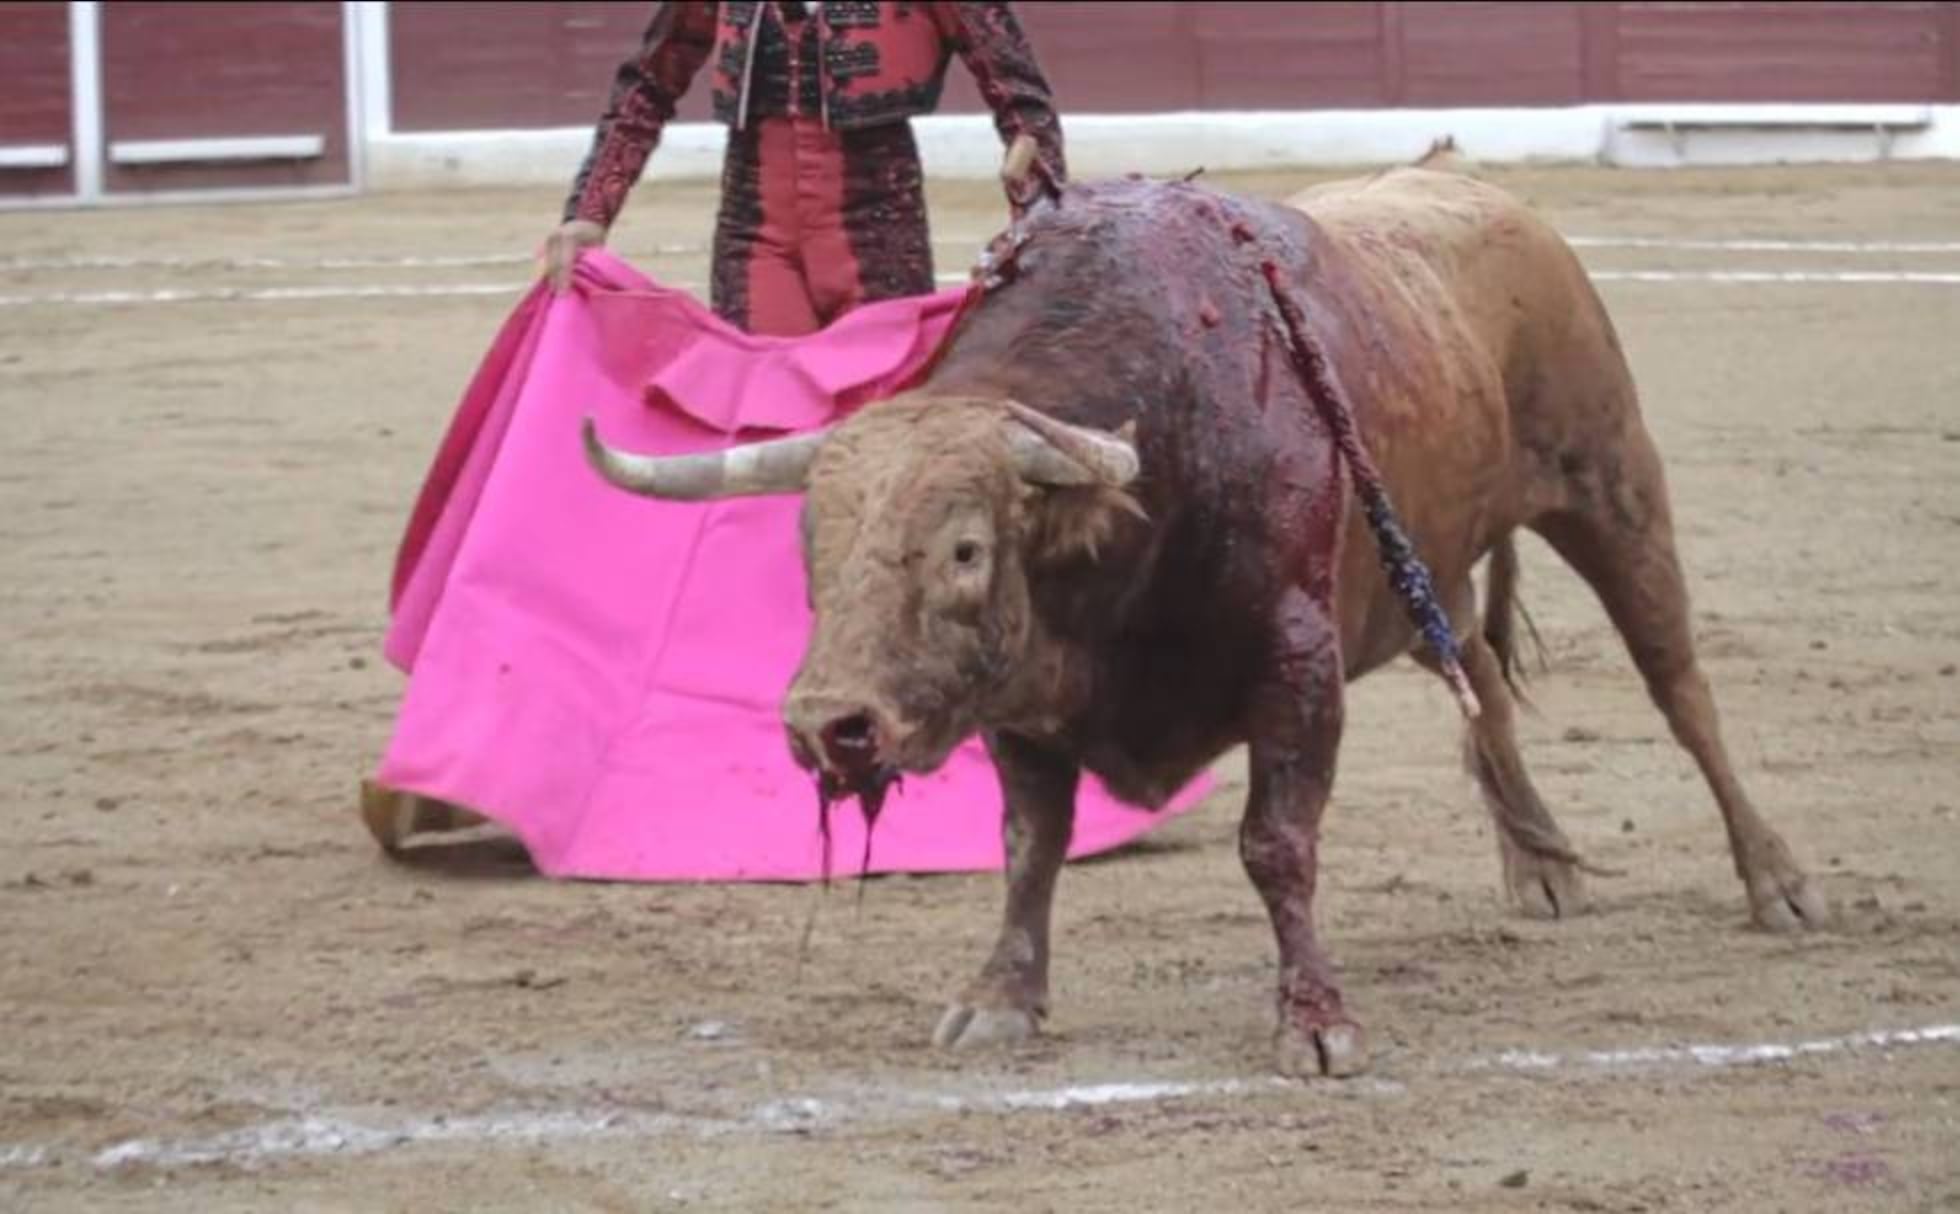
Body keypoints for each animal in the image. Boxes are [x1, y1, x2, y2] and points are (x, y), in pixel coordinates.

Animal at [580, 151, 1829, 1080]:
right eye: (810, 547)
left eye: (967, 549)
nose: (829, 725)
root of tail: (1481, 194)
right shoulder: (1026, 699)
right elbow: (1029, 842)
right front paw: (998, 998)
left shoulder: (1297, 665)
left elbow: (1274, 843)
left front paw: (1316, 1023)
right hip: (1428, 557)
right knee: (1475, 666)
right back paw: (1540, 864)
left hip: (1612, 489)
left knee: (1678, 687)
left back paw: (1777, 882)